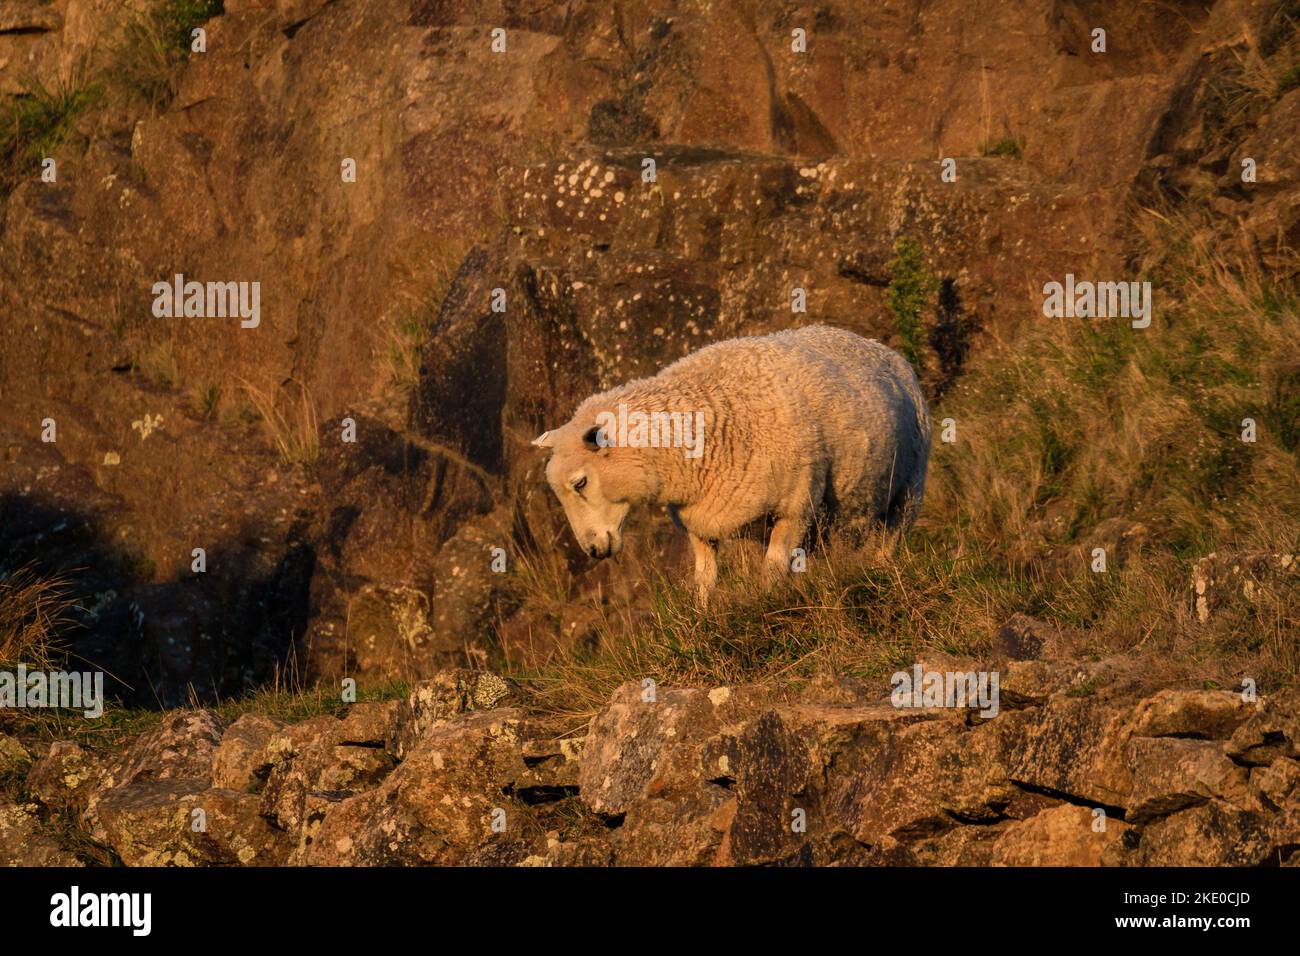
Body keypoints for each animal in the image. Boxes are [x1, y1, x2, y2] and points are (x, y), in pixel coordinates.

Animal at [532, 324, 932, 604]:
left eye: (580, 483)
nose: (593, 550)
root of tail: (883, 349)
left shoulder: (794, 507)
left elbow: (772, 570)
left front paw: (769, 606)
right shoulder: (701, 522)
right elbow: (705, 580)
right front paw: (702, 620)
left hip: (909, 489)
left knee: (891, 539)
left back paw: (882, 573)